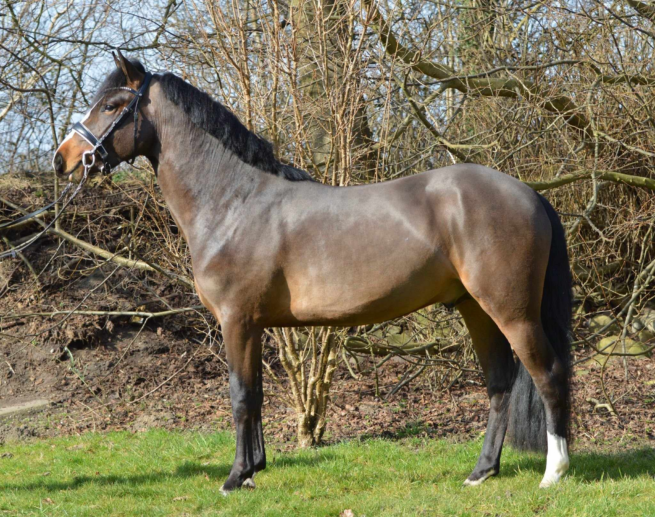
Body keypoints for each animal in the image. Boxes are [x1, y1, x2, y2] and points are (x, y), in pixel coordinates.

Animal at [53, 51, 572, 493]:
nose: (64, 158)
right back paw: (481, 472)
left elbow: (240, 397)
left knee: (547, 375)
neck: (233, 202)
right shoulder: (254, 326)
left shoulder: (236, 321)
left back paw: (554, 473)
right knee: (500, 385)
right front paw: (254, 469)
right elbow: (257, 395)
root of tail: (529, 193)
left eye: (113, 105)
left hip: (512, 312)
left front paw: (235, 477)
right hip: (475, 309)